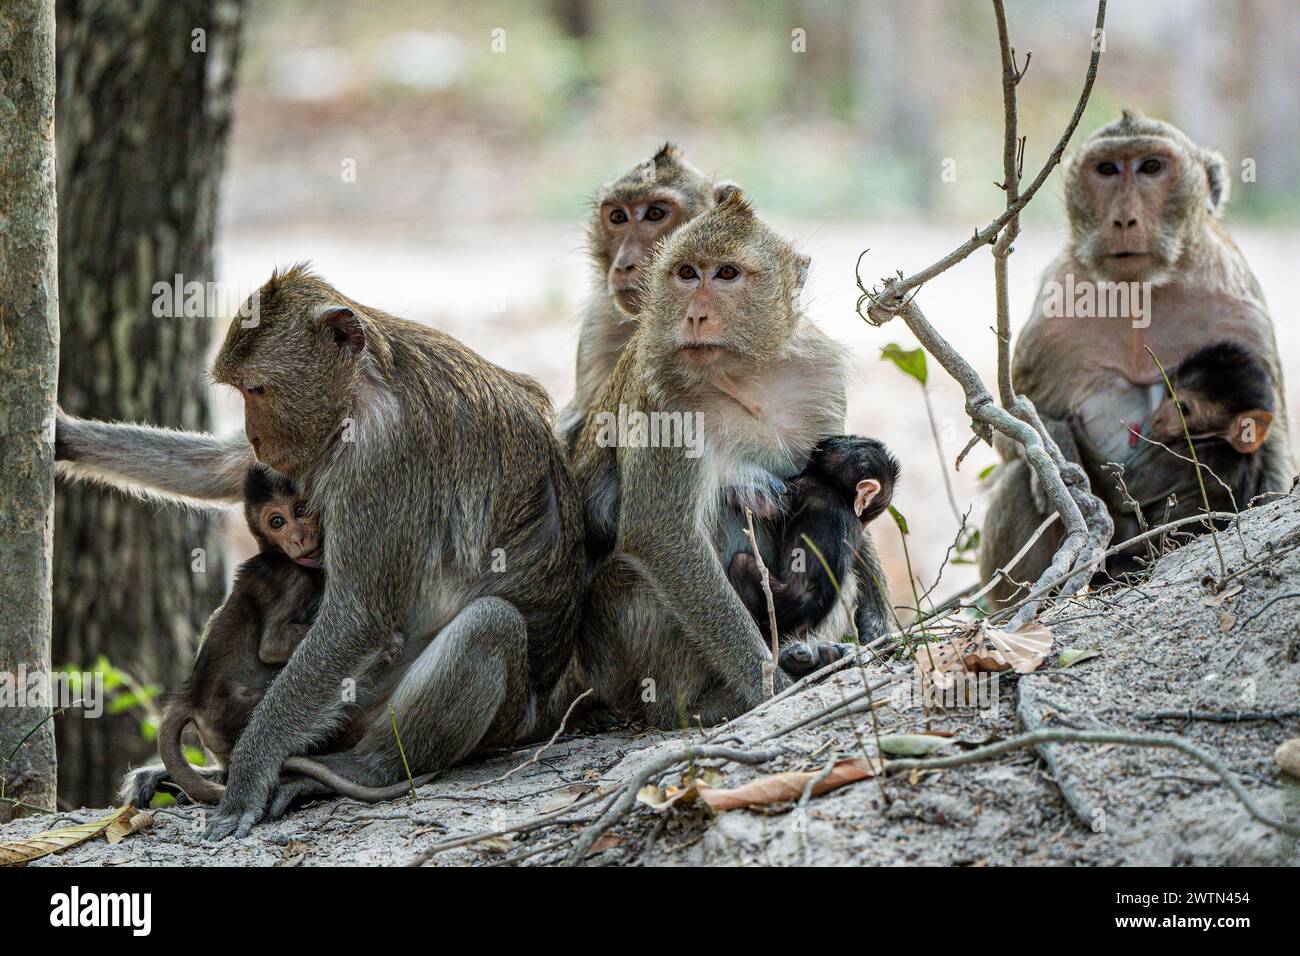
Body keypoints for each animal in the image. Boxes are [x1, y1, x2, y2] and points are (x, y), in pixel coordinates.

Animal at [59, 263, 586, 838]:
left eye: (257, 389)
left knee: (490, 623)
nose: (257, 437)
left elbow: (359, 620)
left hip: (421, 710)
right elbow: (224, 468)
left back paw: (353, 770)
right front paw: (65, 435)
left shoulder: (381, 453)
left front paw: (249, 776)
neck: (364, 381)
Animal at [727, 436, 900, 663]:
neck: (831, 484)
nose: (864, 524)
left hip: (776, 606)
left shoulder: (797, 489)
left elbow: (766, 505)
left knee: (740, 563)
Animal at [979, 111, 1295, 608]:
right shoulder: (1052, 310)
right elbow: (1015, 428)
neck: (1141, 290)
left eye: (1150, 167)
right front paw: (1060, 452)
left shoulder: (1239, 307)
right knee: (1020, 481)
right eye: (1107, 170)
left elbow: (1272, 444)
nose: (1124, 218)